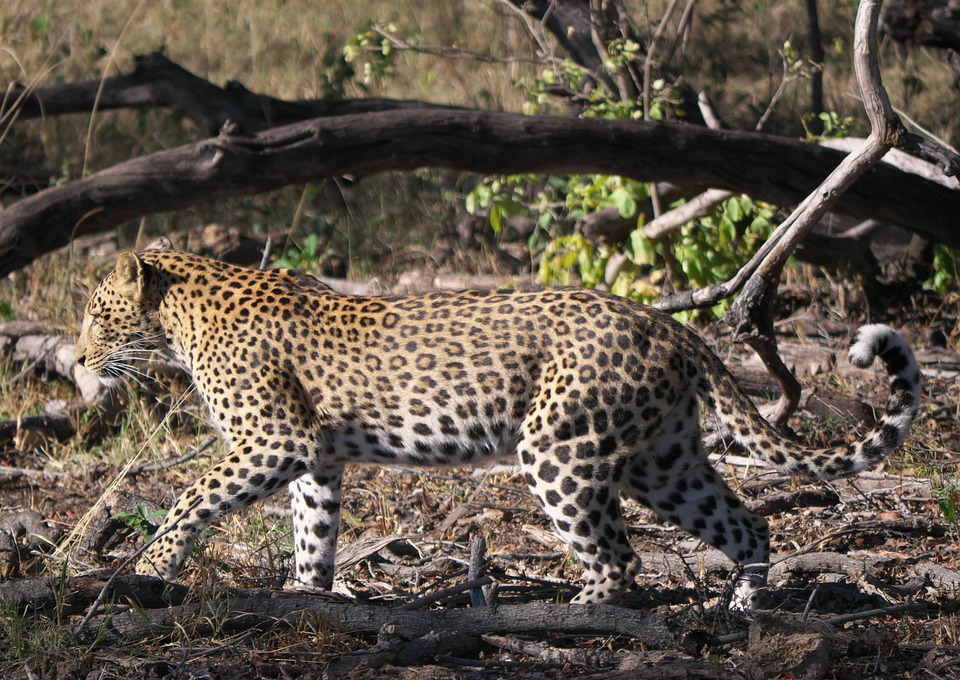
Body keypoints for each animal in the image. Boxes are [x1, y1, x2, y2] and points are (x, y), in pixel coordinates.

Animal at [75, 238, 920, 607]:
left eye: (94, 312)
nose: (78, 357)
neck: (180, 319)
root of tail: (665, 323)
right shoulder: (315, 455)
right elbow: (313, 532)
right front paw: (309, 598)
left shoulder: (275, 441)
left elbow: (191, 496)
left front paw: (152, 568)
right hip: (663, 460)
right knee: (747, 526)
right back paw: (740, 617)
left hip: (561, 448)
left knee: (618, 559)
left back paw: (576, 618)